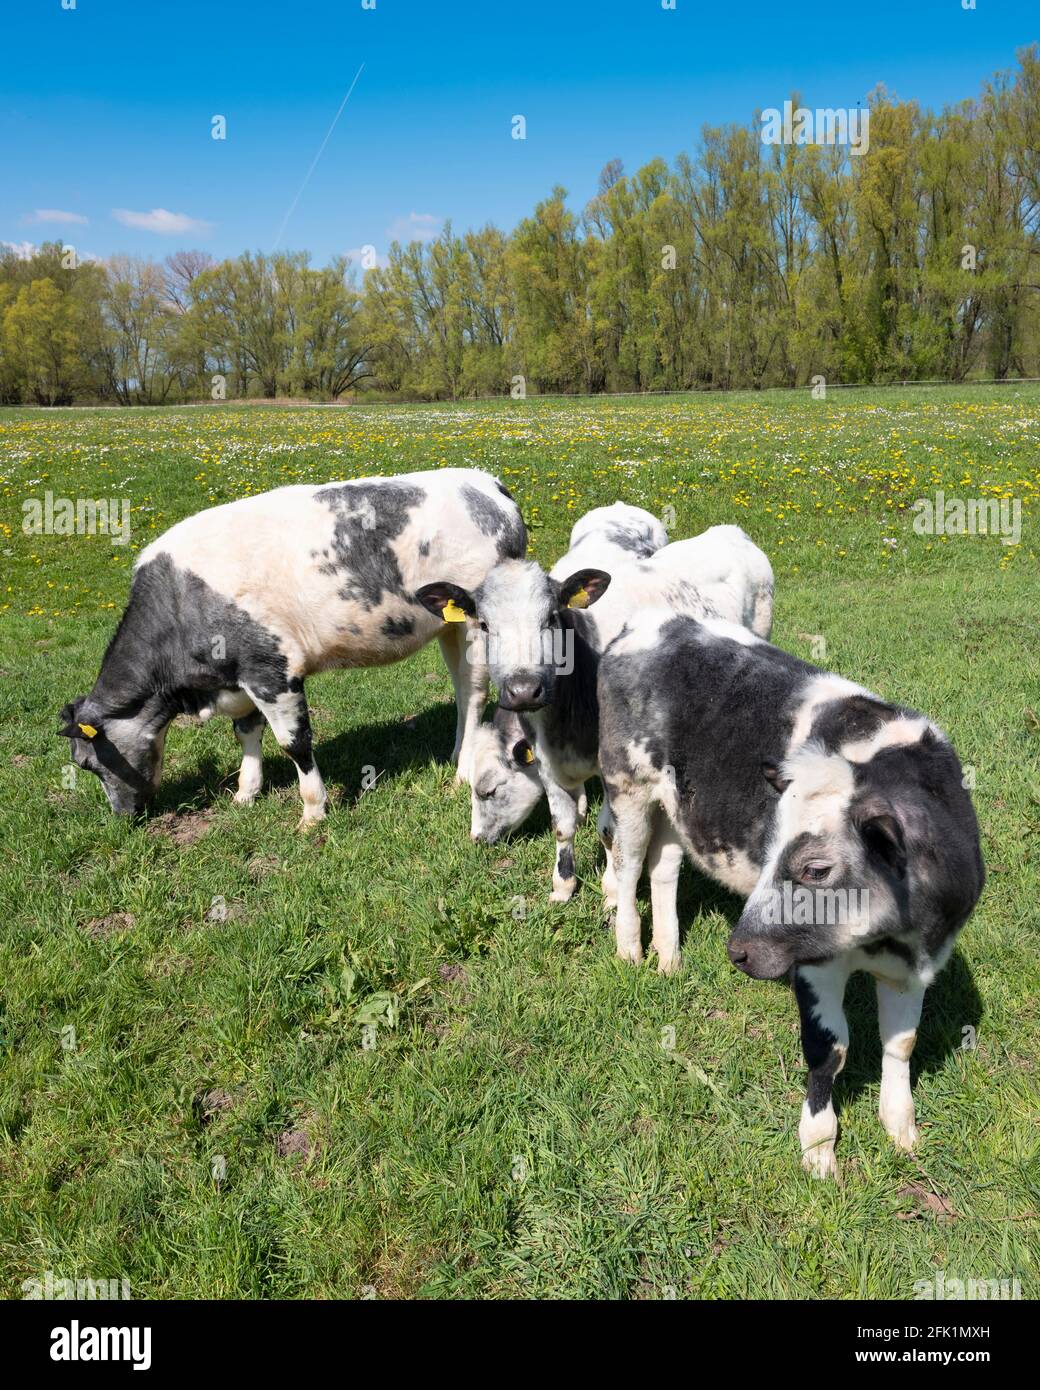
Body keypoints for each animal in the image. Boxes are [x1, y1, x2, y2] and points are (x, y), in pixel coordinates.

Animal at [58, 469, 526, 823]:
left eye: (88, 763)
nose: (123, 816)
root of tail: (486, 483)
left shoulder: (271, 671)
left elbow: (295, 743)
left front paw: (313, 811)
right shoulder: (240, 674)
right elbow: (245, 732)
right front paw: (245, 793)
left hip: (478, 626)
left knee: (475, 691)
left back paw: (463, 771)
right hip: (447, 627)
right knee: (461, 691)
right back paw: (456, 753)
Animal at [416, 522, 774, 901]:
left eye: (551, 618)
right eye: (483, 624)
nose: (524, 689)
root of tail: (729, 530)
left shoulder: (616, 767)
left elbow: (609, 830)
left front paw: (612, 887)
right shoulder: (546, 758)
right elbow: (562, 824)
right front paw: (563, 885)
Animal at [595, 611, 984, 1175]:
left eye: (816, 868)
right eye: (769, 844)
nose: (737, 951)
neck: (891, 937)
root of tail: (655, 621)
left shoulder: (921, 961)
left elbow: (902, 1042)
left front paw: (900, 1125)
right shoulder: (815, 962)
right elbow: (829, 1049)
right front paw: (819, 1148)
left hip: (674, 808)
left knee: (663, 868)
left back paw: (669, 957)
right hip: (627, 785)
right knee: (625, 867)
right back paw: (630, 949)